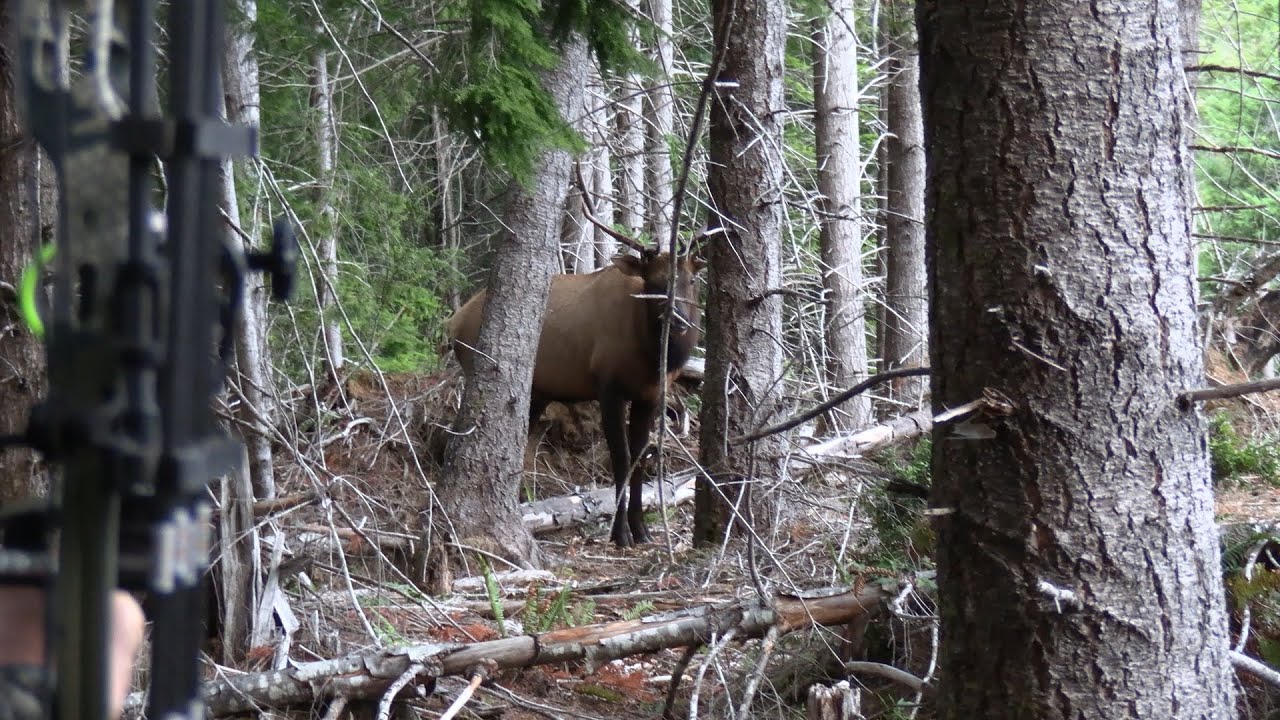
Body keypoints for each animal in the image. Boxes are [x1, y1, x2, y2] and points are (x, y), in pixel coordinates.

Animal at [447, 222, 706, 547]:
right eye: (652, 283)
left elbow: (640, 458)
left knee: (522, 445)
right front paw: (621, 534)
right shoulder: (609, 388)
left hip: (536, 393)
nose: (679, 321)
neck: (653, 357)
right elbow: (621, 458)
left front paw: (641, 531)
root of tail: (453, 323)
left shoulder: (649, 395)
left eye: (692, 279)